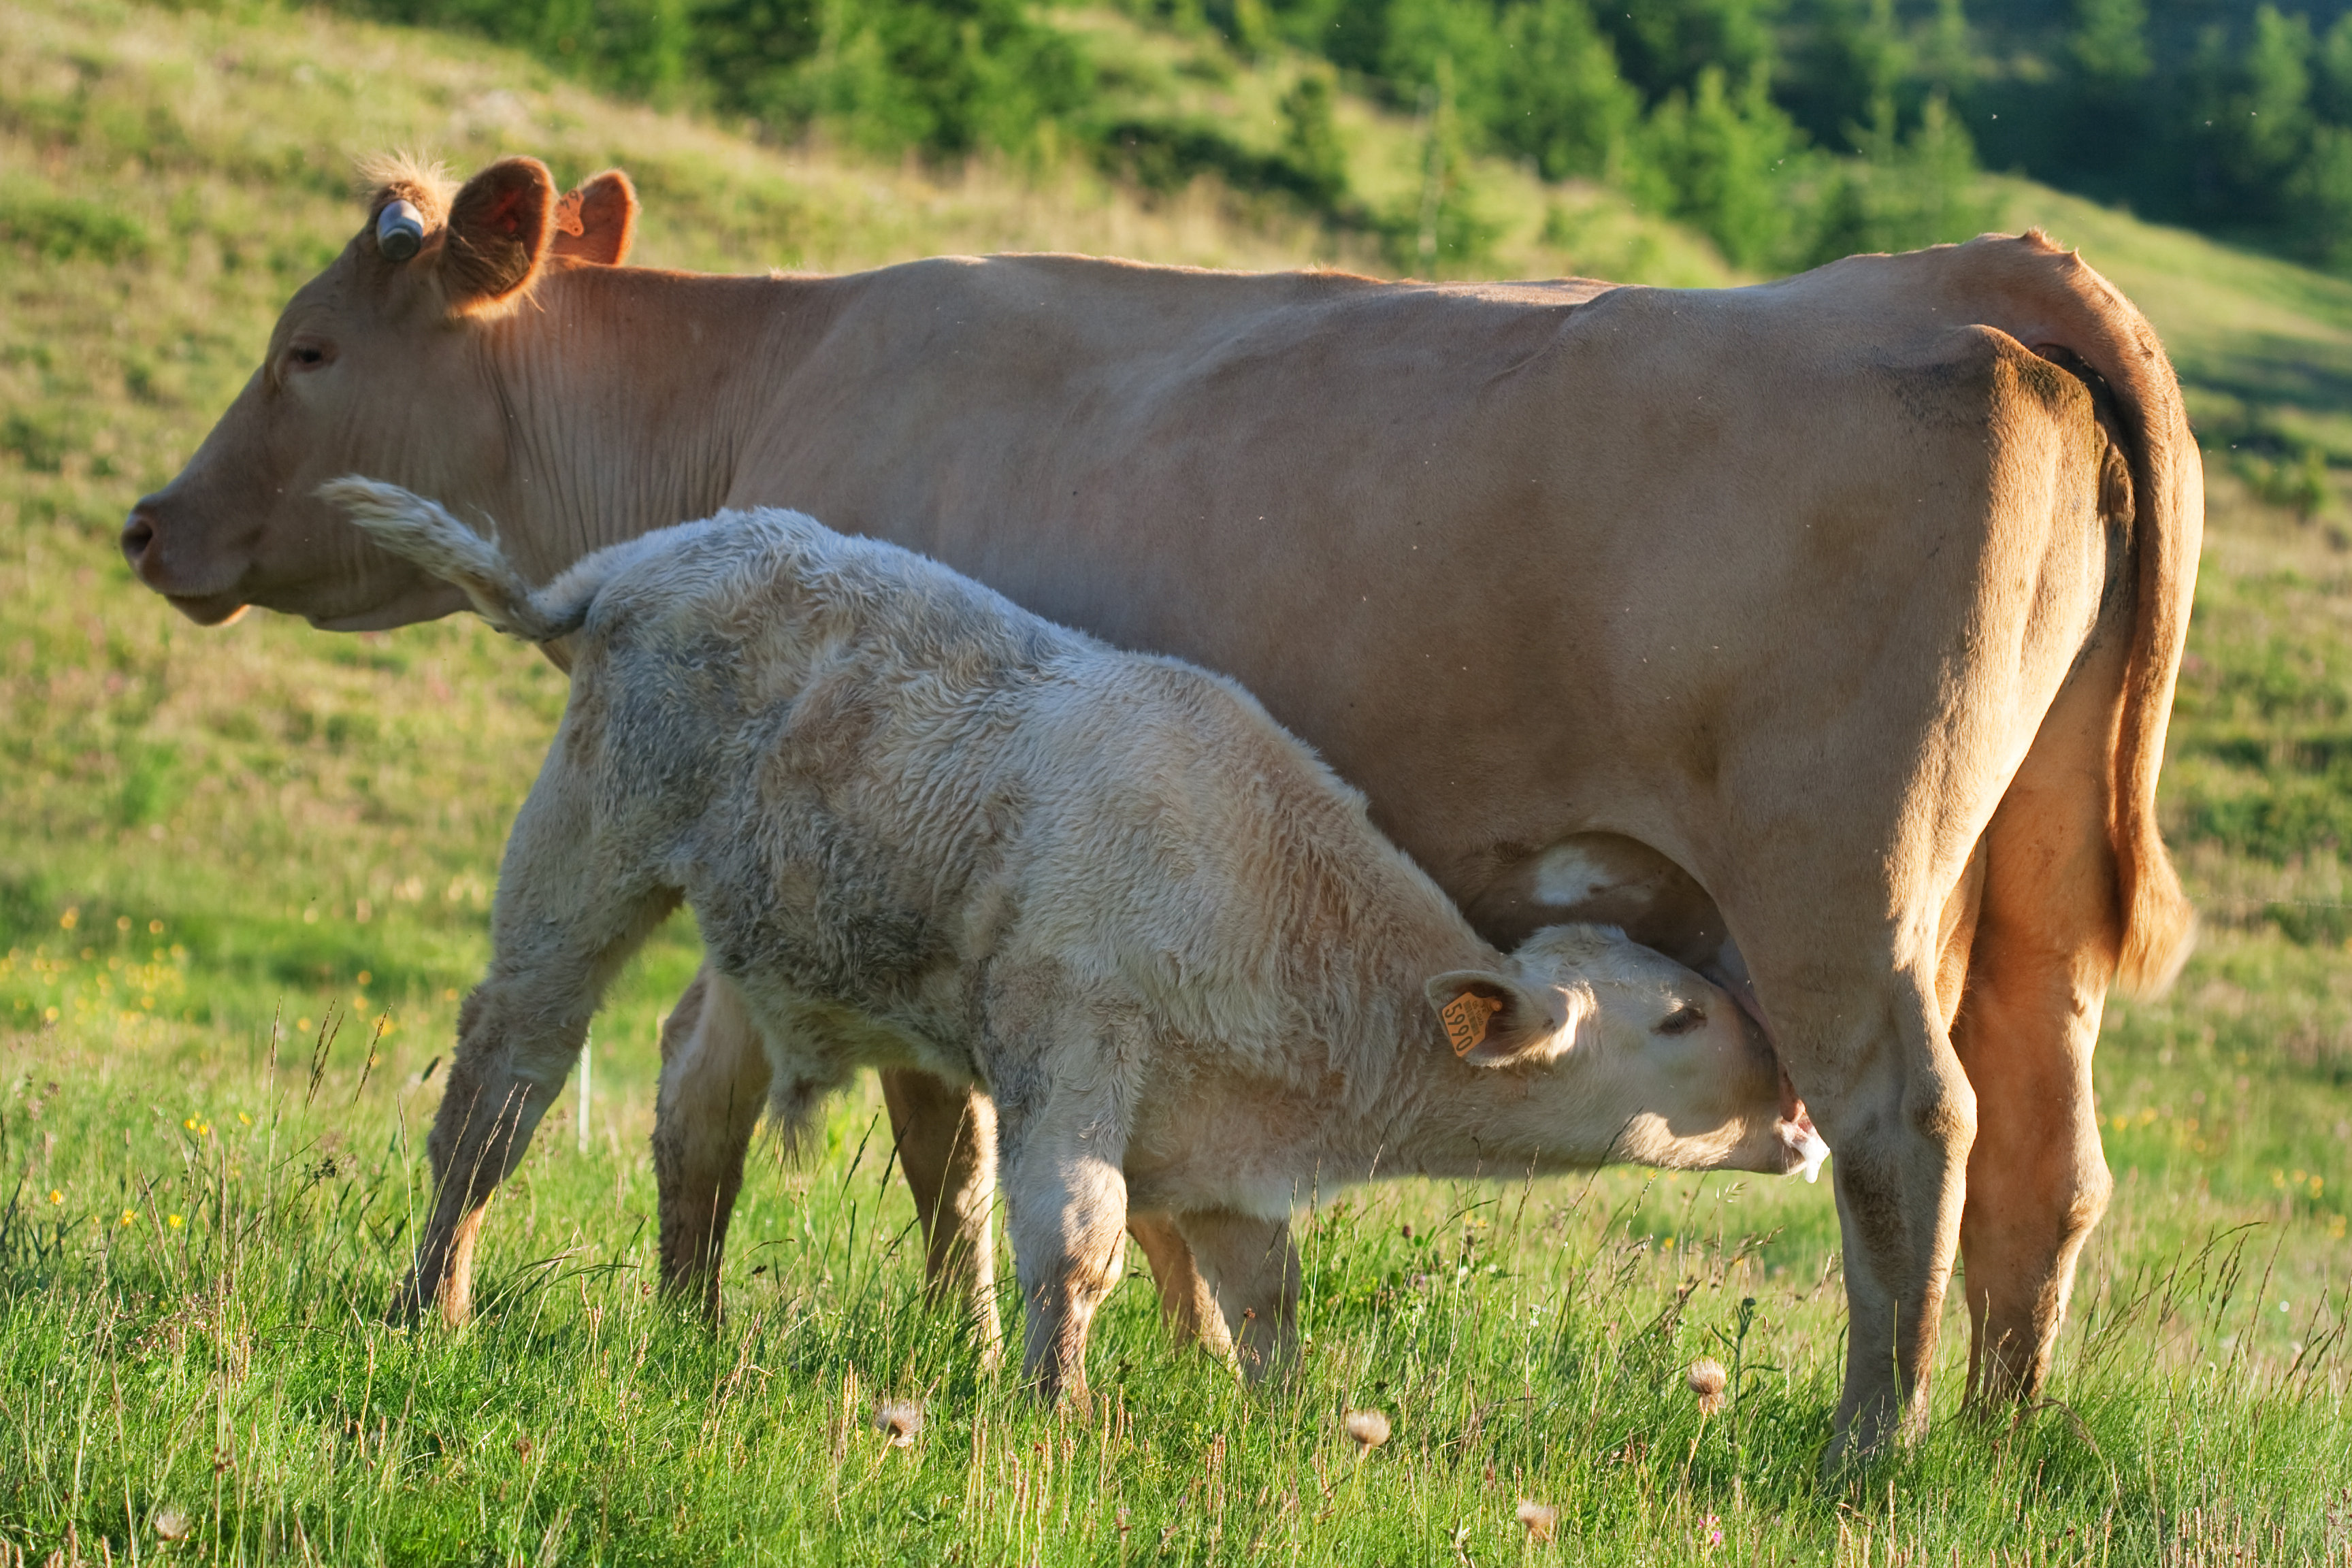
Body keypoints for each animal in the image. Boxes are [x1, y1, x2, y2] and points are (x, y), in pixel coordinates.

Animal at [322, 476, 1824, 1403]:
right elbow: (1078, 1237)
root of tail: (645, 559)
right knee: (504, 1080)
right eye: (1682, 1018)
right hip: (583, 857)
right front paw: (1059, 1408)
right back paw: (431, 1305)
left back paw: (697, 1324)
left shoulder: (1226, 1159)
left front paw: (1277, 1423)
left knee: (699, 1105)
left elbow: (1264, 1296)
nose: (1802, 1113)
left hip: (763, 940)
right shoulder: (1078, 1054)